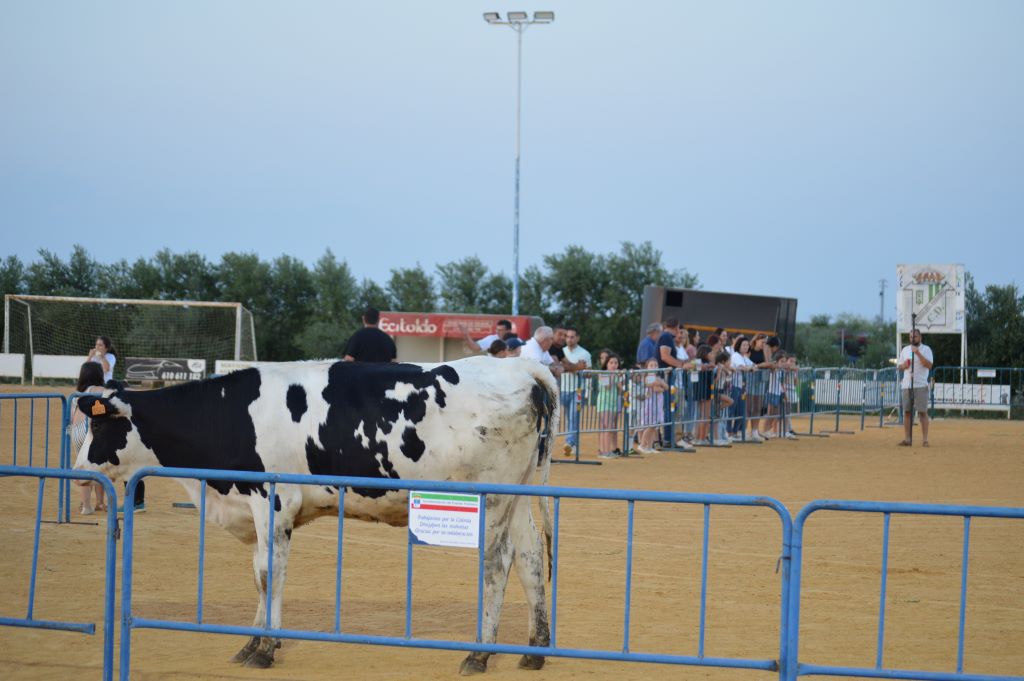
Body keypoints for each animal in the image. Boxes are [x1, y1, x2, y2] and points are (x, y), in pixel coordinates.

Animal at [73, 355, 558, 674]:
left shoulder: (273, 503)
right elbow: (259, 573)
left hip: (491, 498)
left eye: (97, 424)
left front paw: (266, 647)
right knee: (532, 558)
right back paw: (535, 649)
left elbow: (270, 573)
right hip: (519, 495)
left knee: (497, 563)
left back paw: (480, 652)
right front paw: (252, 642)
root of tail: (519, 367)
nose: (77, 472)